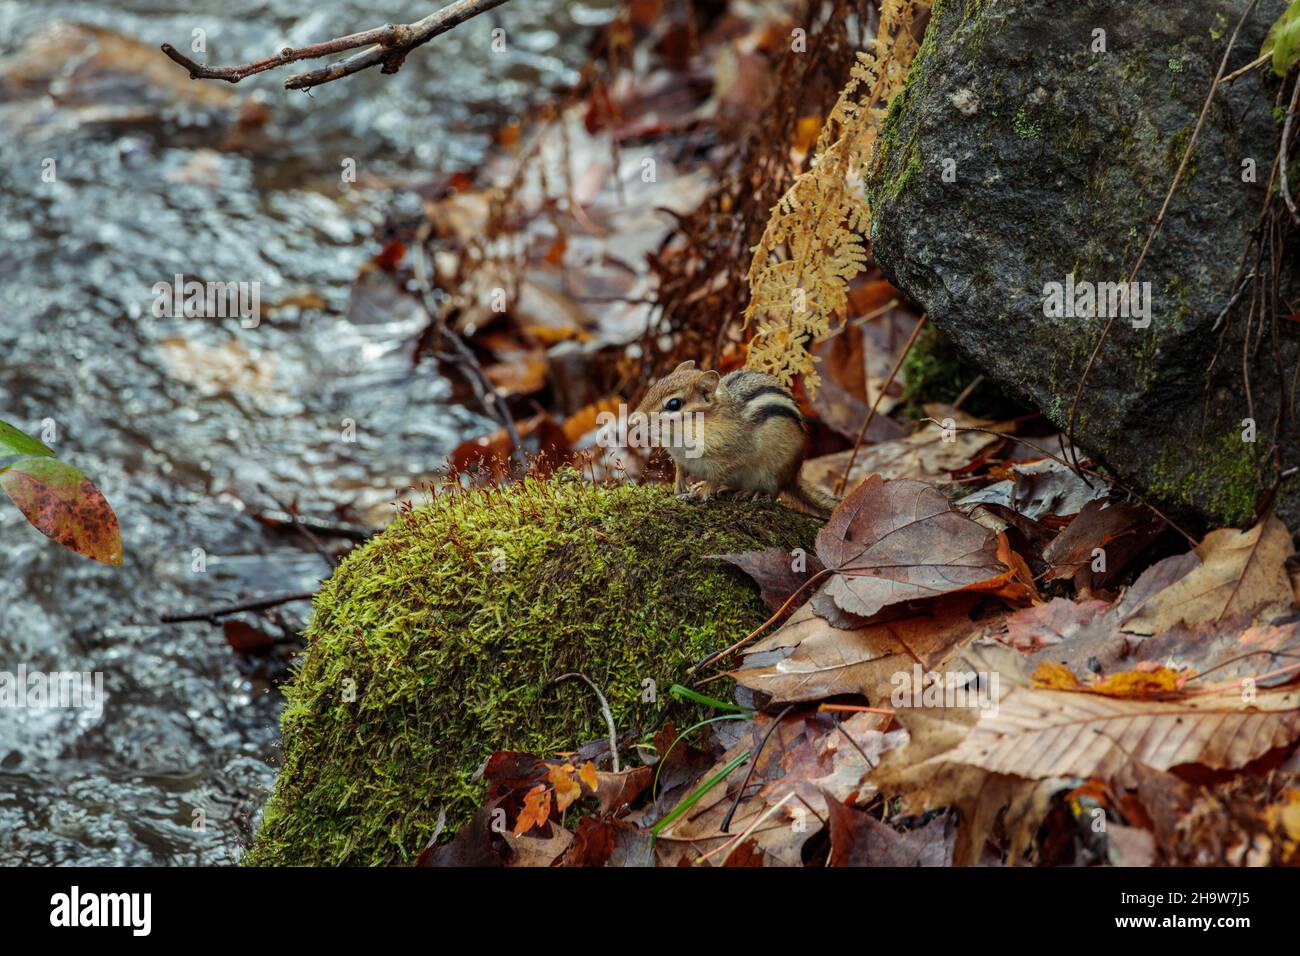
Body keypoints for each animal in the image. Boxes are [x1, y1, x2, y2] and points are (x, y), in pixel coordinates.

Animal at [634, 360, 840, 518]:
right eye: (653, 388)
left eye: (674, 404)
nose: (633, 420)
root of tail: (793, 477)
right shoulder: (680, 459)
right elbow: (680, 471)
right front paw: (679, 486)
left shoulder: (732, 457)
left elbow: (715, 477)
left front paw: (702, 491)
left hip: (775, 471)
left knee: (773, 491)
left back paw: (752, 492)